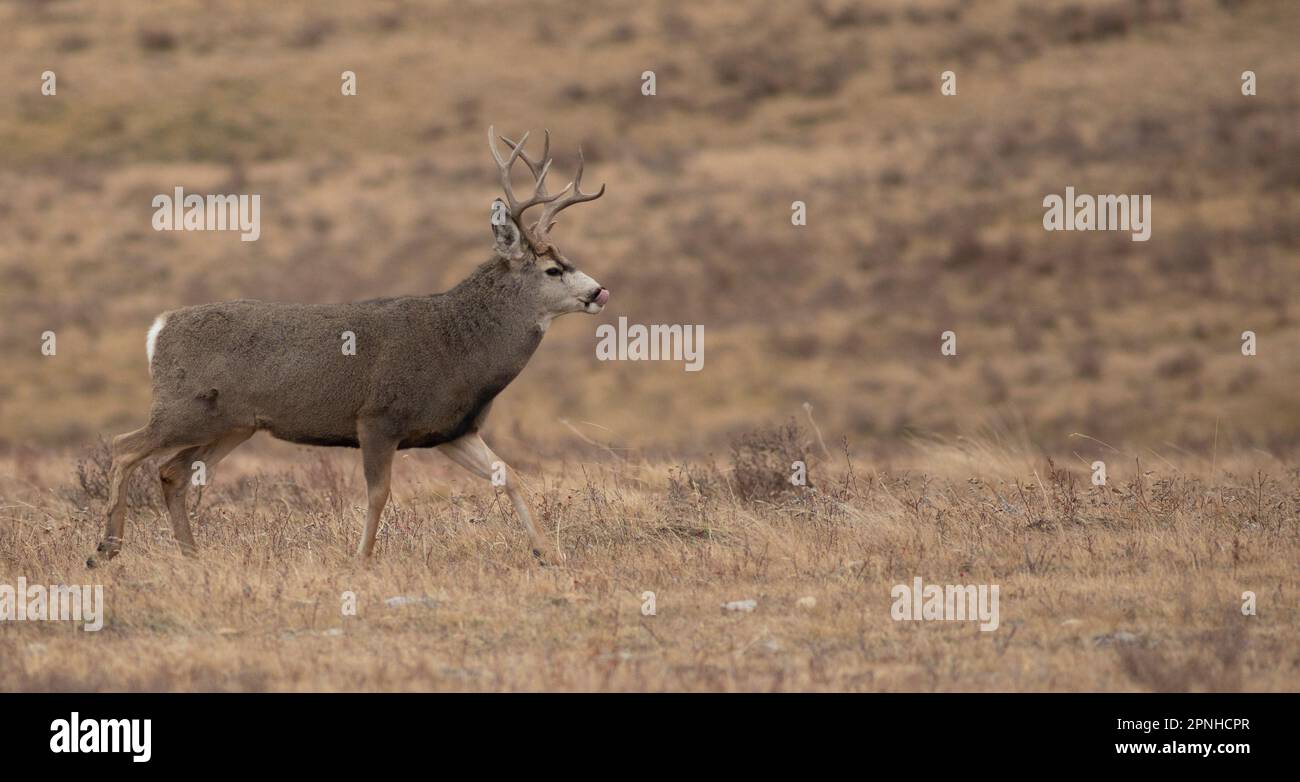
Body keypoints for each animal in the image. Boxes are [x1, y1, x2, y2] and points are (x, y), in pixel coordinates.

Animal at [85, 127, 609, 568]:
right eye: (553, 270)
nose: (599, 292)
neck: (459, 345)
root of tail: (159, 328)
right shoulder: (377, 417)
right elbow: (379, 494)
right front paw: (361, 558)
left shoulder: (452, 430)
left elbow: (510, 474)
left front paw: (548, 553)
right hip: (184, 408)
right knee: (124, 446)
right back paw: (105, 549)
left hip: (233, 424)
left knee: (172, 472)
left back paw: (192, 557)